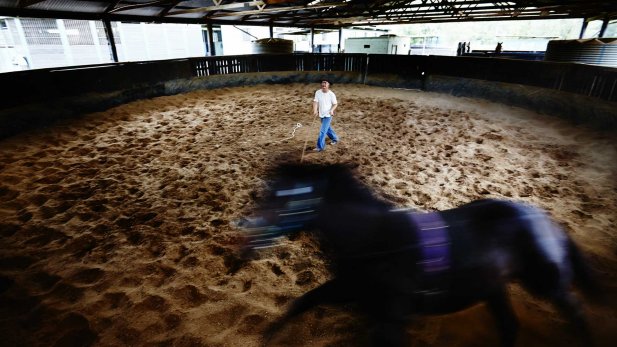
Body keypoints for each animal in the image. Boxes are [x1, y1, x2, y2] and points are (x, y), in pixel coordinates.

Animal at [241, 164, 596, 347]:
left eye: (288, 196)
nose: (248, 238)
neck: (375, 239)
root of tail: (546, 221)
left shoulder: (391, 318)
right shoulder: (348, 289)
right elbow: (302, 302)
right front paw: (266, 337)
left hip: (546, 282)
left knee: (576, 311)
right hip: (494, 289)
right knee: (509, 325)